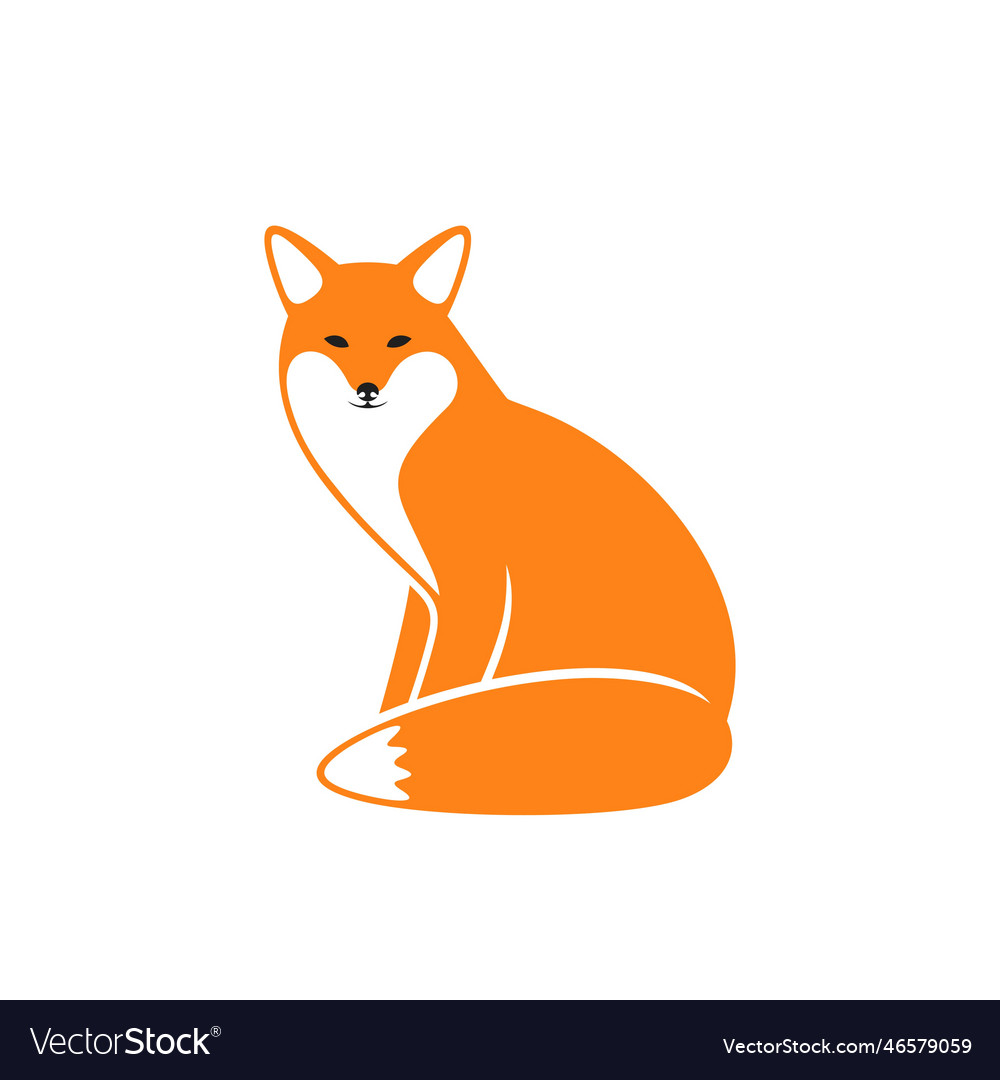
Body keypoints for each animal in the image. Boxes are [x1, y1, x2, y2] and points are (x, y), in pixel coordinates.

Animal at [265, 225, 735, 814]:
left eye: (399, 341)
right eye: (336, 341)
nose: (367, 390)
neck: (397, 454)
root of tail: (720, 718)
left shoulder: (472, 582)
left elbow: (440, 687)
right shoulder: (424, 590)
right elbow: (403, 682)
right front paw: (387, 719)